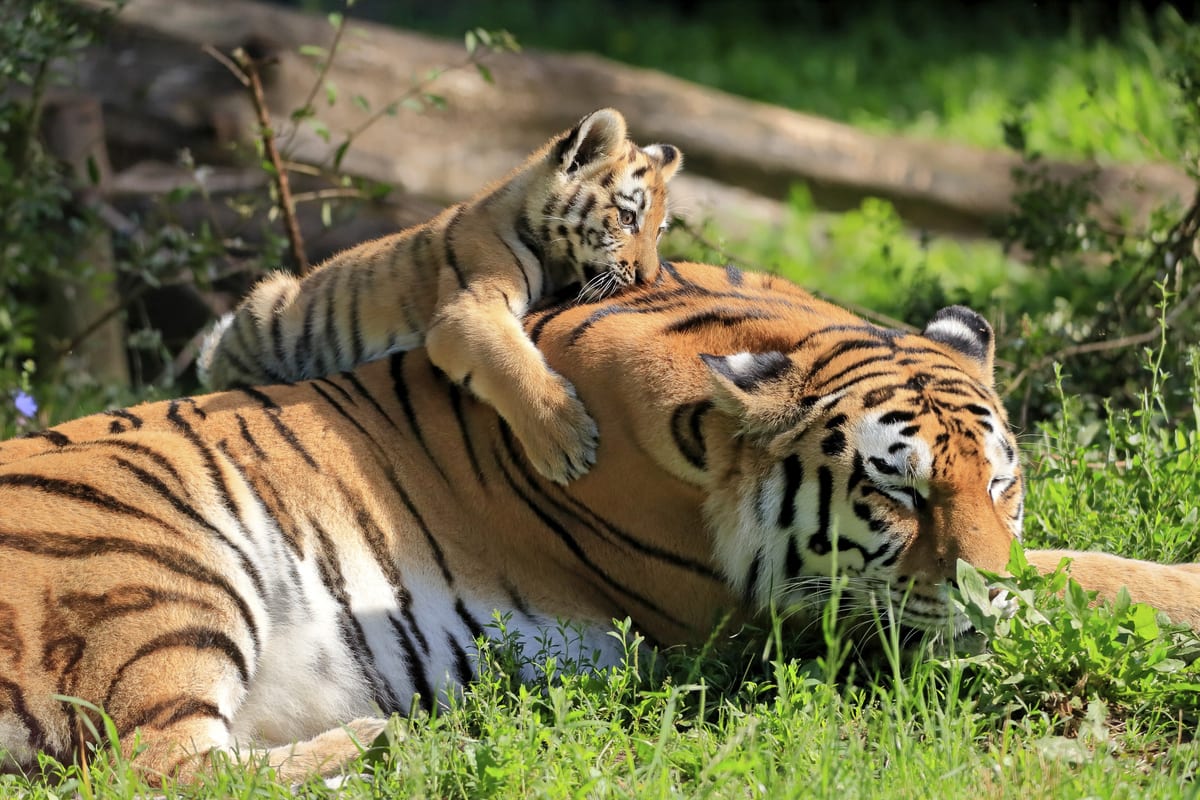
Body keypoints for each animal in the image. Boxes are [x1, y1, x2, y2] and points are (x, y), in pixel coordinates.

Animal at [4, 261, 1199, 785]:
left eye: (1000, 481)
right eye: (896, 491)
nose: (987, 594)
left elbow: (1076, 561)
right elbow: (1086, 573)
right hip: (156, 562)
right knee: (154, 769)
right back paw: (405, 740)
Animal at [196, 107, 683, 484]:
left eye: (659, 231)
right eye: (626, 217)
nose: (647, 279)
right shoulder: (468, 307)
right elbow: (510, 360)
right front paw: (566, 440)